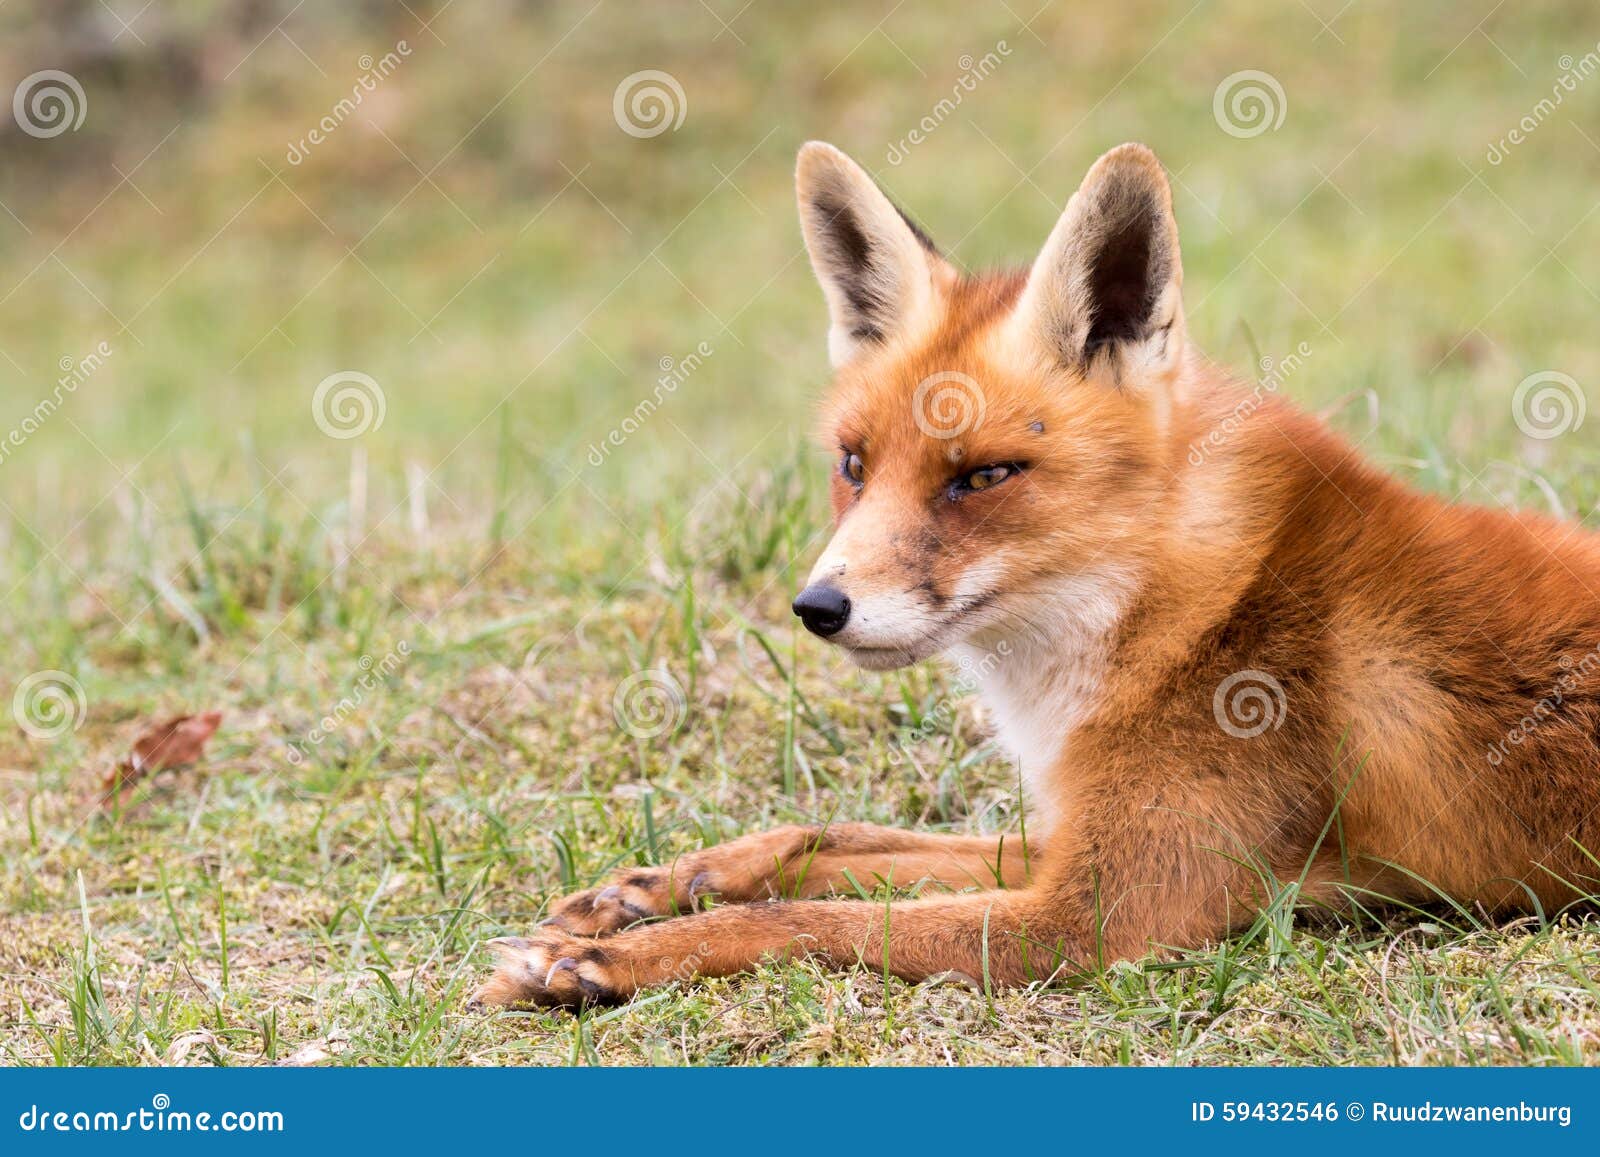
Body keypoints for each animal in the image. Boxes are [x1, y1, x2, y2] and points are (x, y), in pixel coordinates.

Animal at [474, 140, 1600, 1010]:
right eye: (853, 464)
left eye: (981, 475)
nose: (817, 607)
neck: (1183, 607)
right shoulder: (1066, 836)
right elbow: (828, 843)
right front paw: (652, 887)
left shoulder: (1097, 911)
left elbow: (807, 918)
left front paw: (607, 957)